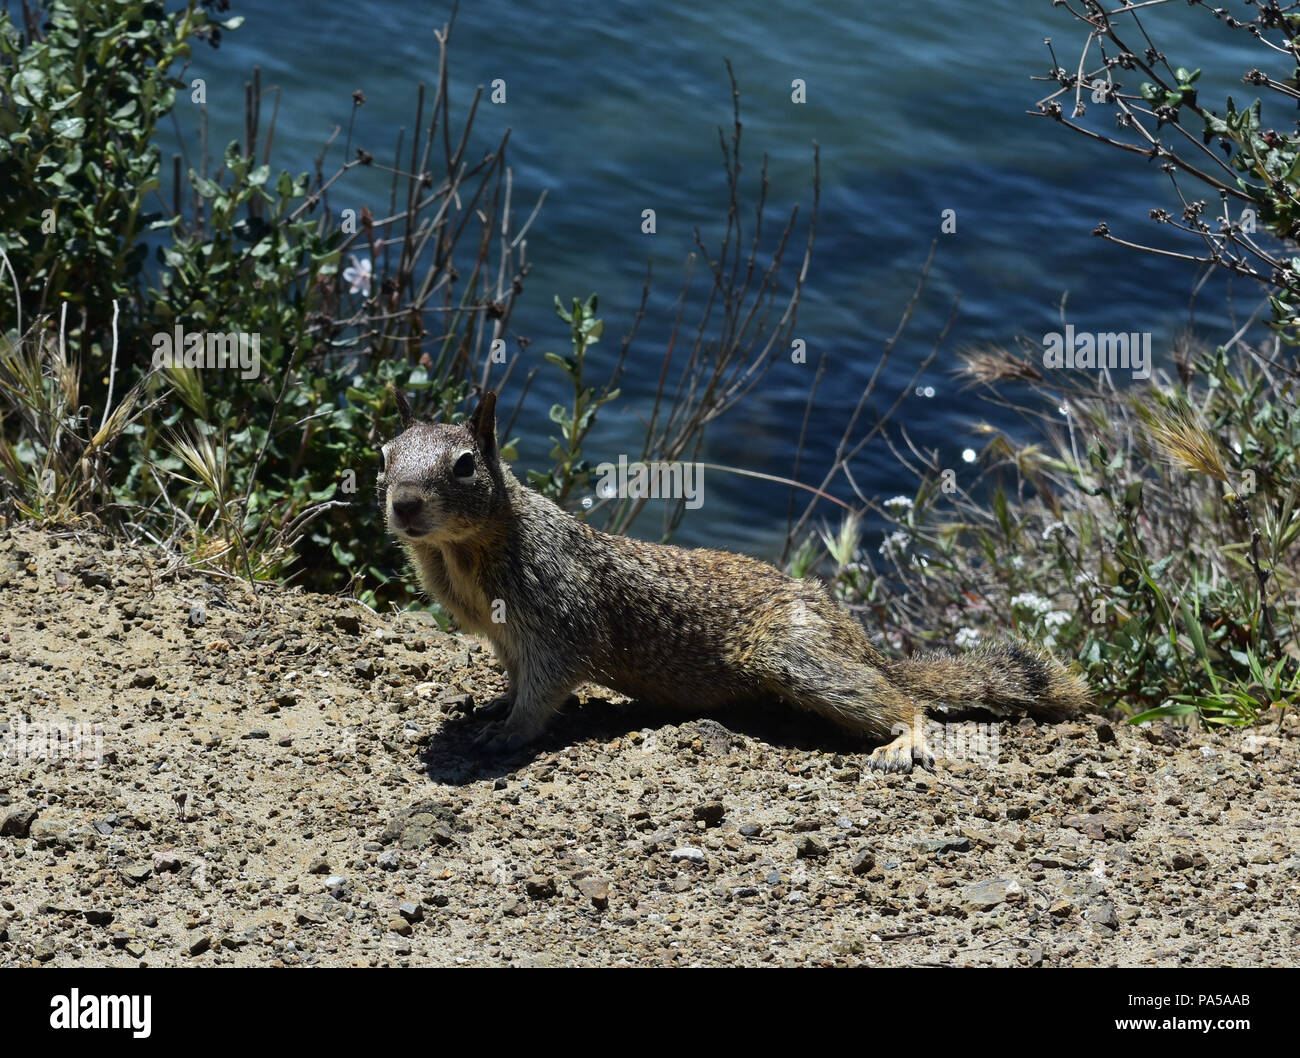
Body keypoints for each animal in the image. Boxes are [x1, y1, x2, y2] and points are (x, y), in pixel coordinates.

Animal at [379, 389, 1090, 772]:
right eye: (384, 454)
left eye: (465, 465)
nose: (404, 504)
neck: (461, 553)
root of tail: (863, 644)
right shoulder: (502, 634)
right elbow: (514, 677)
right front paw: (494, 704)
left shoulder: (557, 612)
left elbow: (546, 686)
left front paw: (507, 732)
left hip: (795, 654)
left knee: (900, 701)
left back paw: (904, 738)